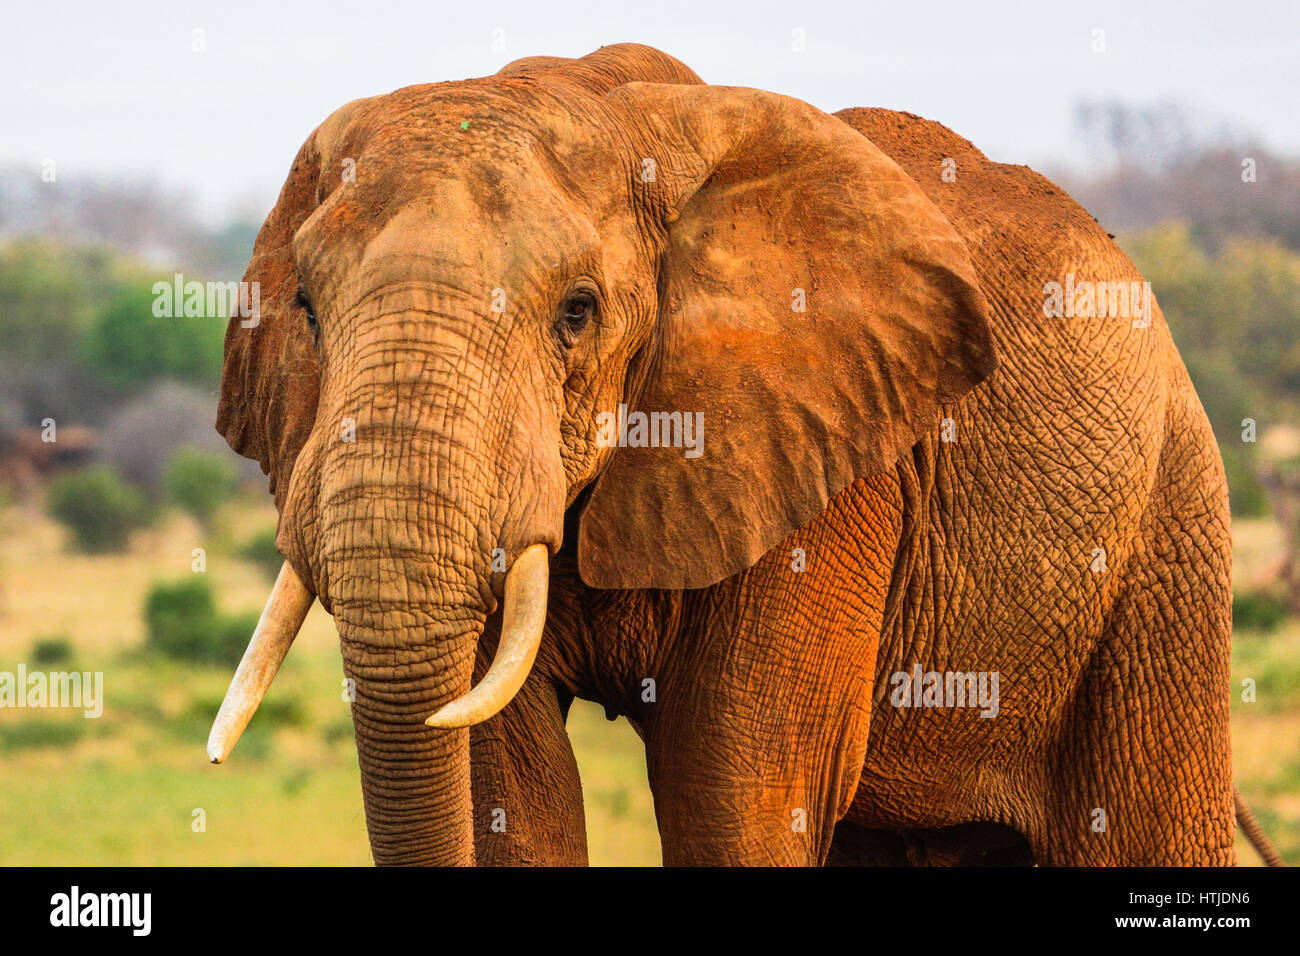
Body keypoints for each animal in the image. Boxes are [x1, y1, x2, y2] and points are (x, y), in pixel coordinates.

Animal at [207, 42, 1258, 866]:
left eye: (577, 312)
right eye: (305, 308)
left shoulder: (835, 467)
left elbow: (735, 787)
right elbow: (509, 787)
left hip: (1167, 530)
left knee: (1141, 821)